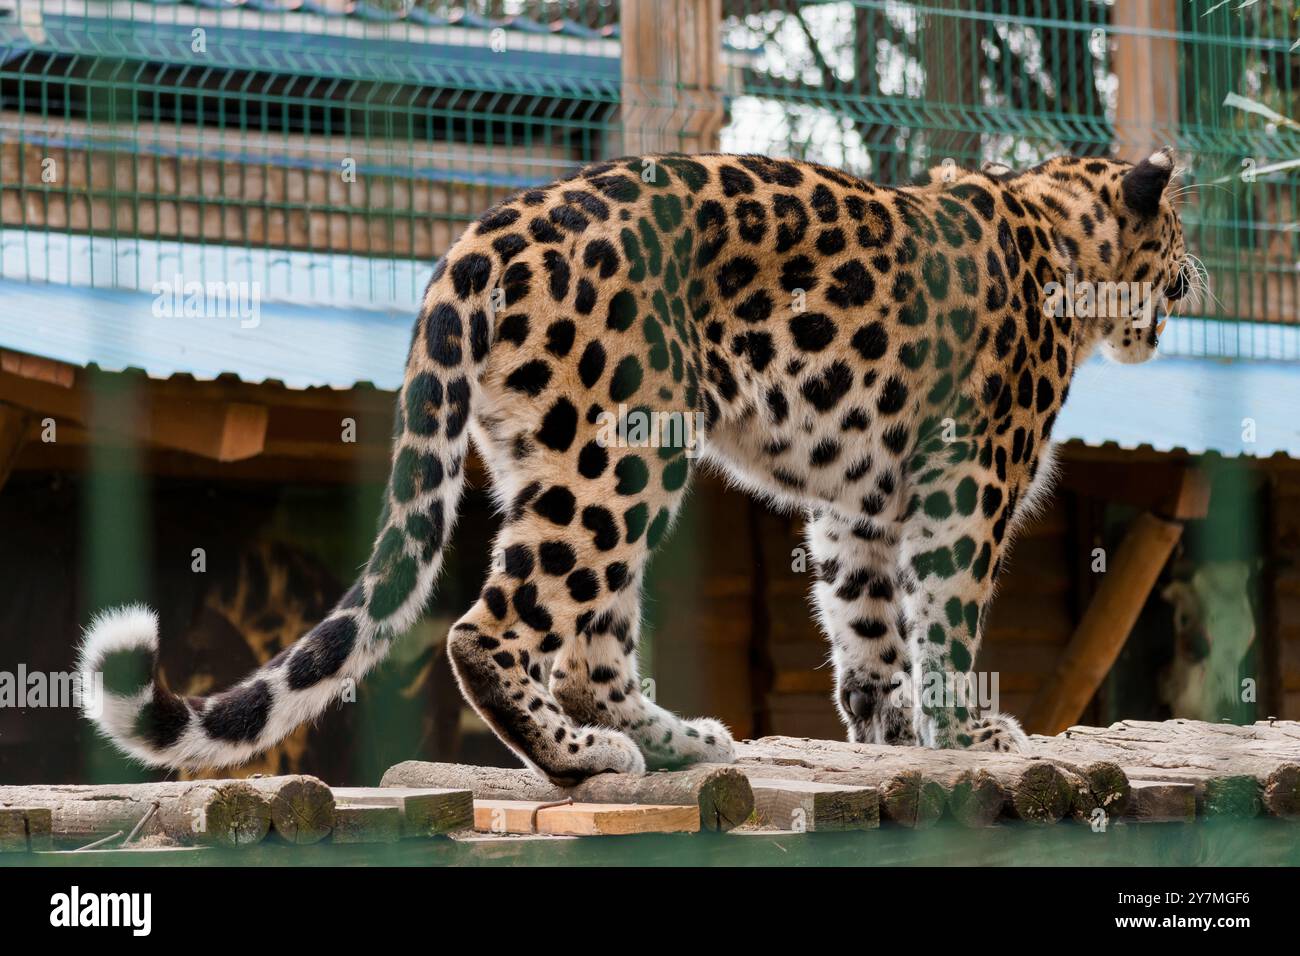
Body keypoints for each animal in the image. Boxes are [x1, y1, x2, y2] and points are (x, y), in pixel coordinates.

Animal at [78, 147, 1193, 784]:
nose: (1194, 279)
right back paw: (579, 757)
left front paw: (892, 742)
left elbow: (870, 630)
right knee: (493, 629)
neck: (1059, 229)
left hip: (566, 446)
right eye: (1180, 230)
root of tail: (484, 232)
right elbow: (948, 616)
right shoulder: (969, 483)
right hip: (619, 455)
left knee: (584, 645)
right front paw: (973, 737)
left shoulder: (862, 503)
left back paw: (669, 741)